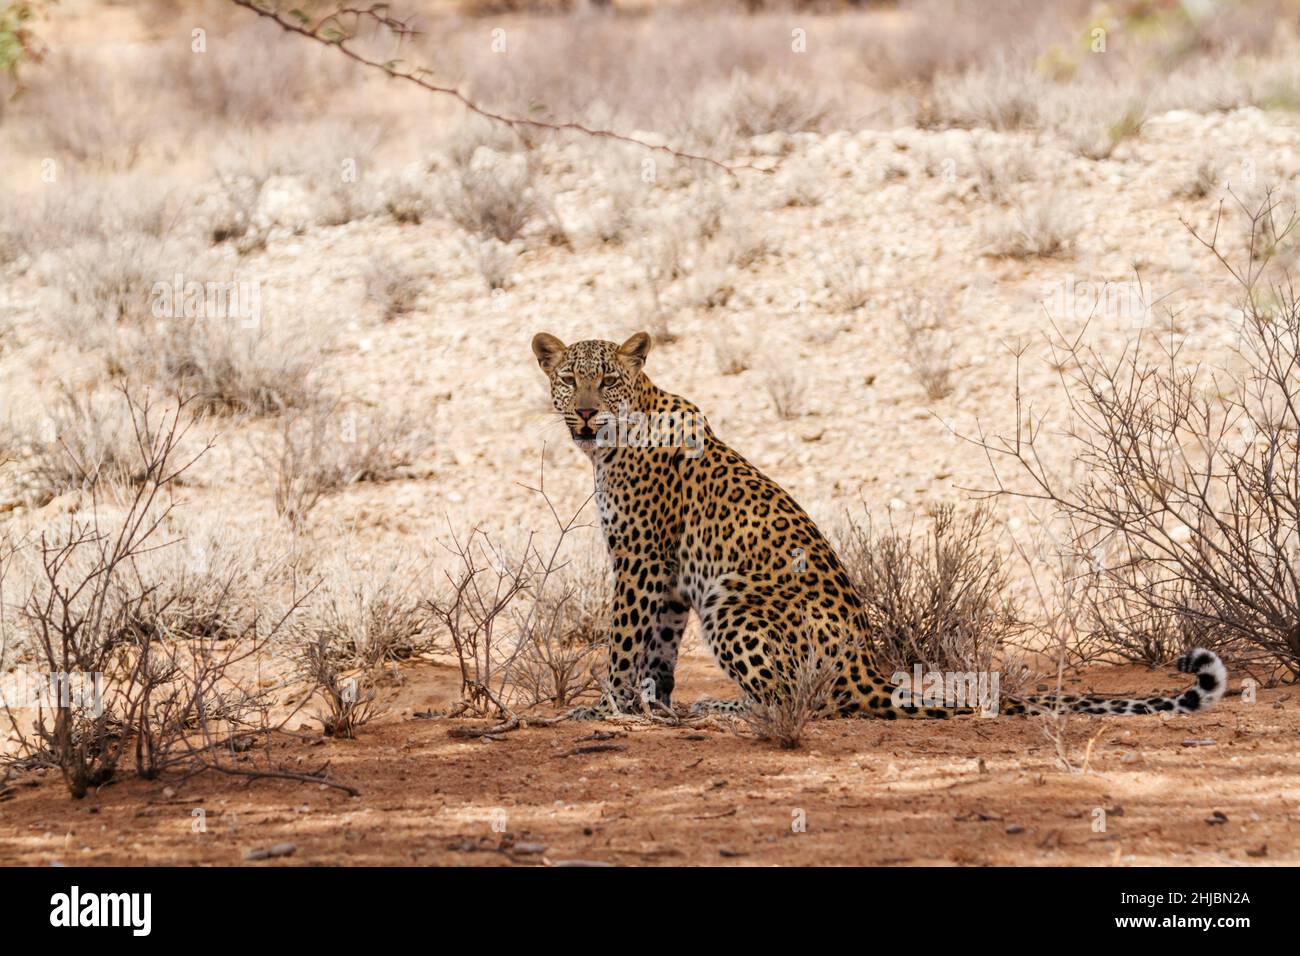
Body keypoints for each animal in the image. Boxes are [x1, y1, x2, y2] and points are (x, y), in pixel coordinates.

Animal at [530, 330, 1228, 721]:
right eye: (568, 379)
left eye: (607, 380)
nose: (586, 413)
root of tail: (869, 665)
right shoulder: (672, 580)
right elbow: (659, 652)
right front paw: (652, 706)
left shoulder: (640, 561)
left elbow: (623, 645)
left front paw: (606, 710)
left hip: (734, 601)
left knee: (800, 699)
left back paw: (722, 706)